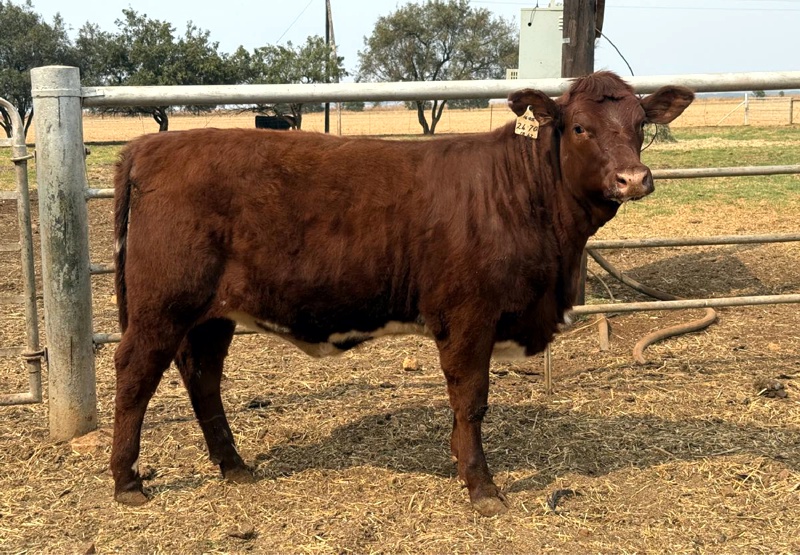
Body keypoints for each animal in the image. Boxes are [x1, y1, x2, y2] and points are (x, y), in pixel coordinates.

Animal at [110, 71, 694, 516]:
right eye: (579, 127)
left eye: (641, 125)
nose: (633, 178)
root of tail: (150, 145)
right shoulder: (468, 316)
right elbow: (471, 401)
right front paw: (482, 487)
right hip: (162, 305)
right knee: (136, 374)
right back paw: (127, 481)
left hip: (212, 313)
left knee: (203, 376)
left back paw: (234, 466)